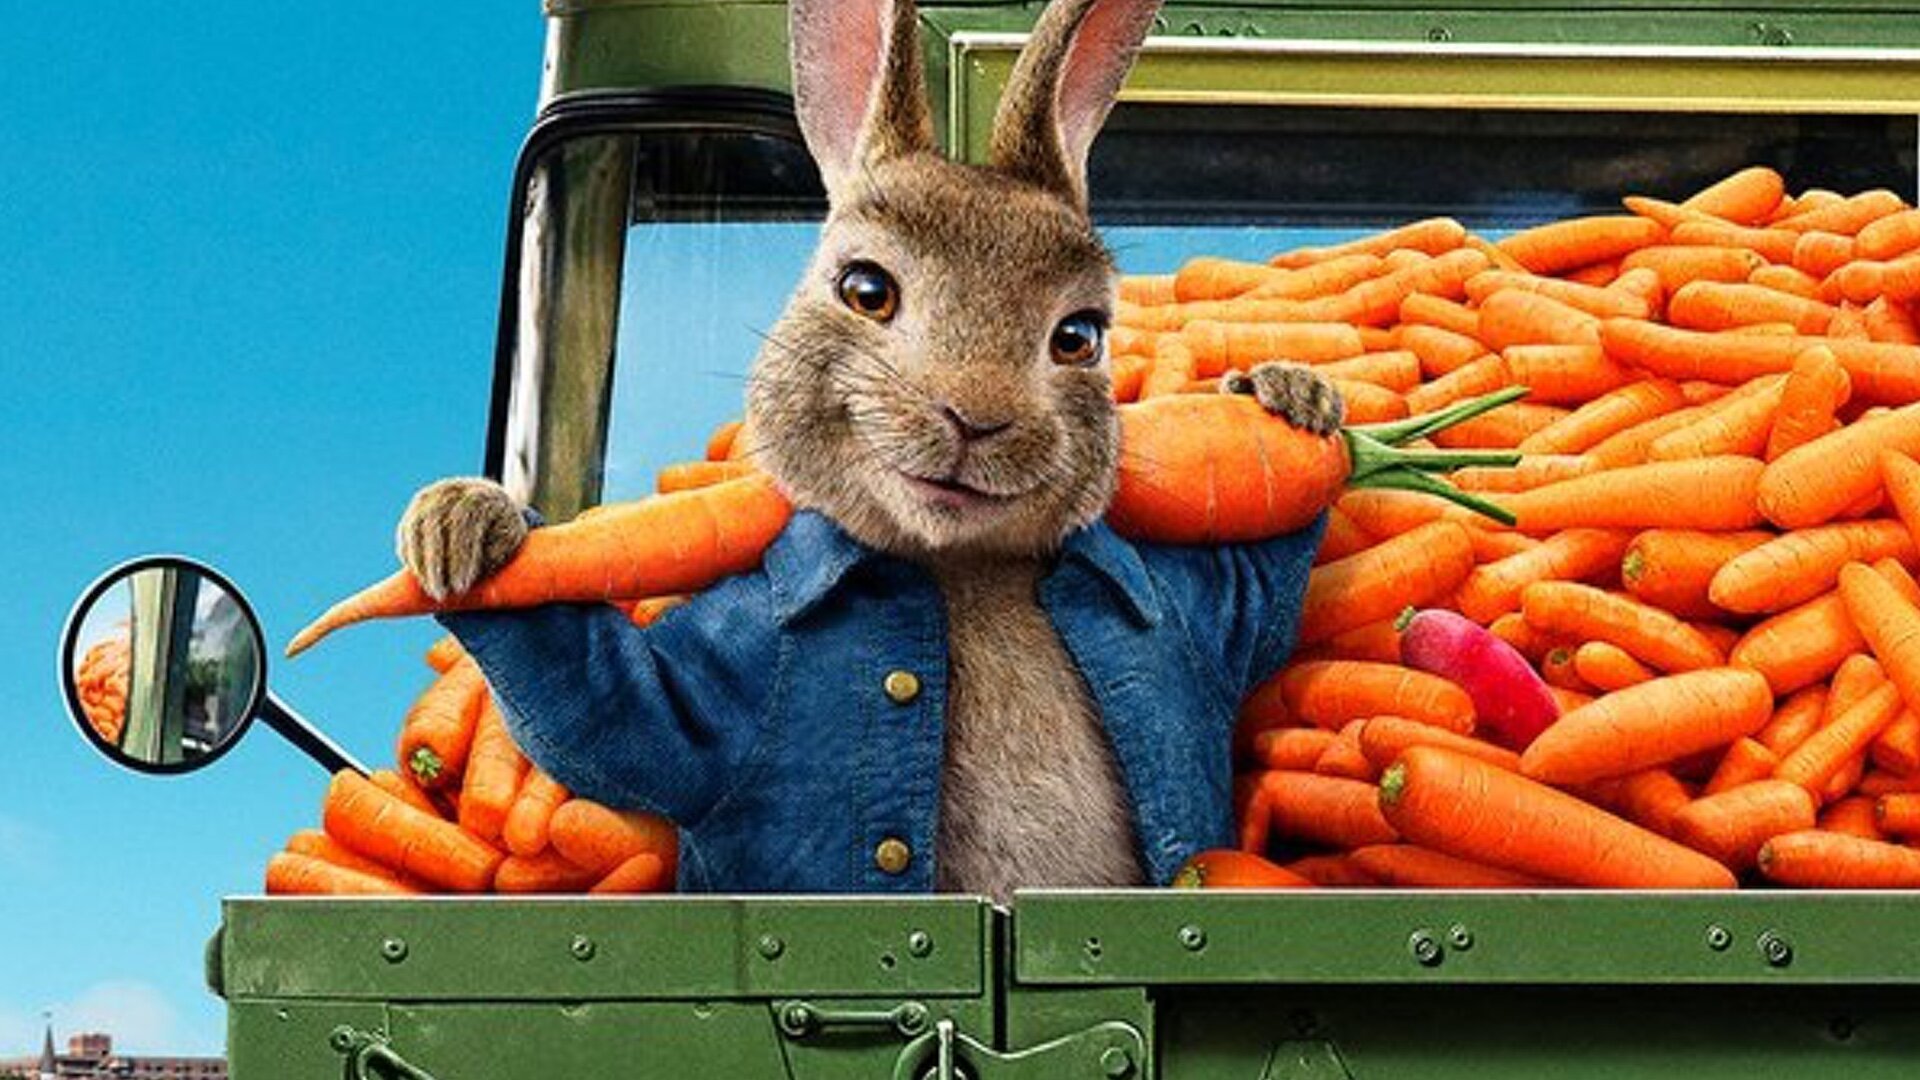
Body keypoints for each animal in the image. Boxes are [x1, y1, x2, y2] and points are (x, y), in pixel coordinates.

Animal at [400, 0, 1342, 902]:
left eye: (1079, 336)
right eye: (864, 289)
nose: (977, 417)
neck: (963, 571)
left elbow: (1256, 594)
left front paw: (1288, 395)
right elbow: (618, 716)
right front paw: (464, 523)